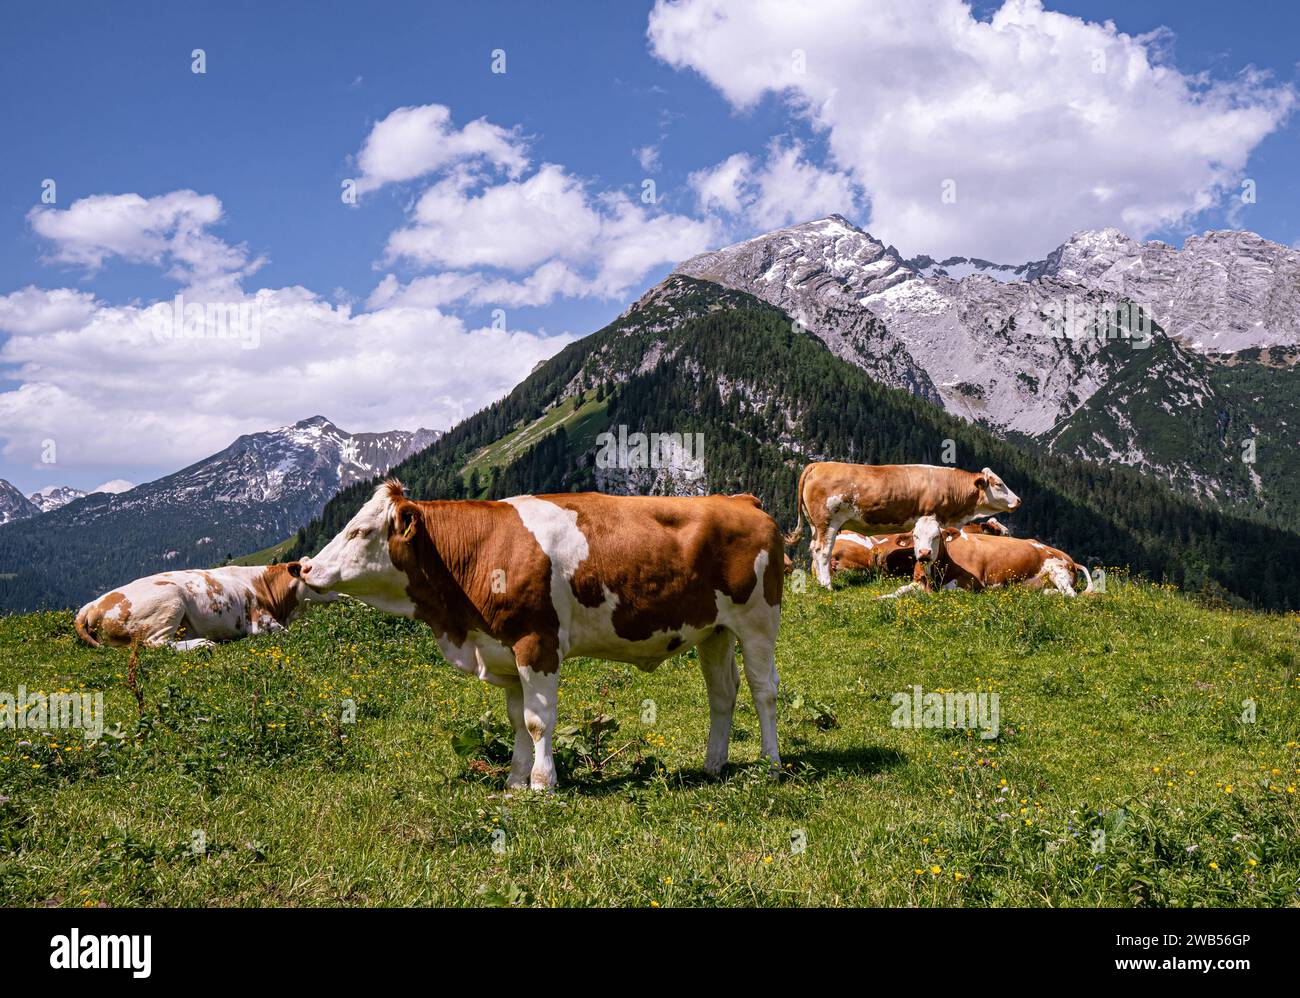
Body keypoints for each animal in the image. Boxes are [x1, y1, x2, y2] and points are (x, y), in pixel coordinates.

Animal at [288, 480, 784, 790]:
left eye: (360, 531)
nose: (304, 567)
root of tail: (740, 500)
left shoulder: (537, 641)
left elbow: (537, 719)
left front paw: (543, 784)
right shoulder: (504, 650)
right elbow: (516, 719)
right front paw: (515, 781)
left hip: (758, 621)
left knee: (763, 690)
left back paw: (771, 764)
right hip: (714, 630)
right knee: (723, 694)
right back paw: (713, 765)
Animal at [785, 462, 1020, 588]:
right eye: (999, 483)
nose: (1018, 500)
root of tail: (819, 464)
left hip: (816, 525)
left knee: (813, 549)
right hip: (828, 522)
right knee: (823, 551)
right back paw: (827, 585)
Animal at [879, 515, 1094, 598]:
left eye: (937, 536)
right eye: (915, 536)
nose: (924, 553)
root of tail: (1070, 558)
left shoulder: (972, 584)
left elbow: (948, 590)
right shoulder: (918, 580)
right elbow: (899, 590)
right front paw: (882, 597)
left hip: (1058, 571)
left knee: (1070, 594)